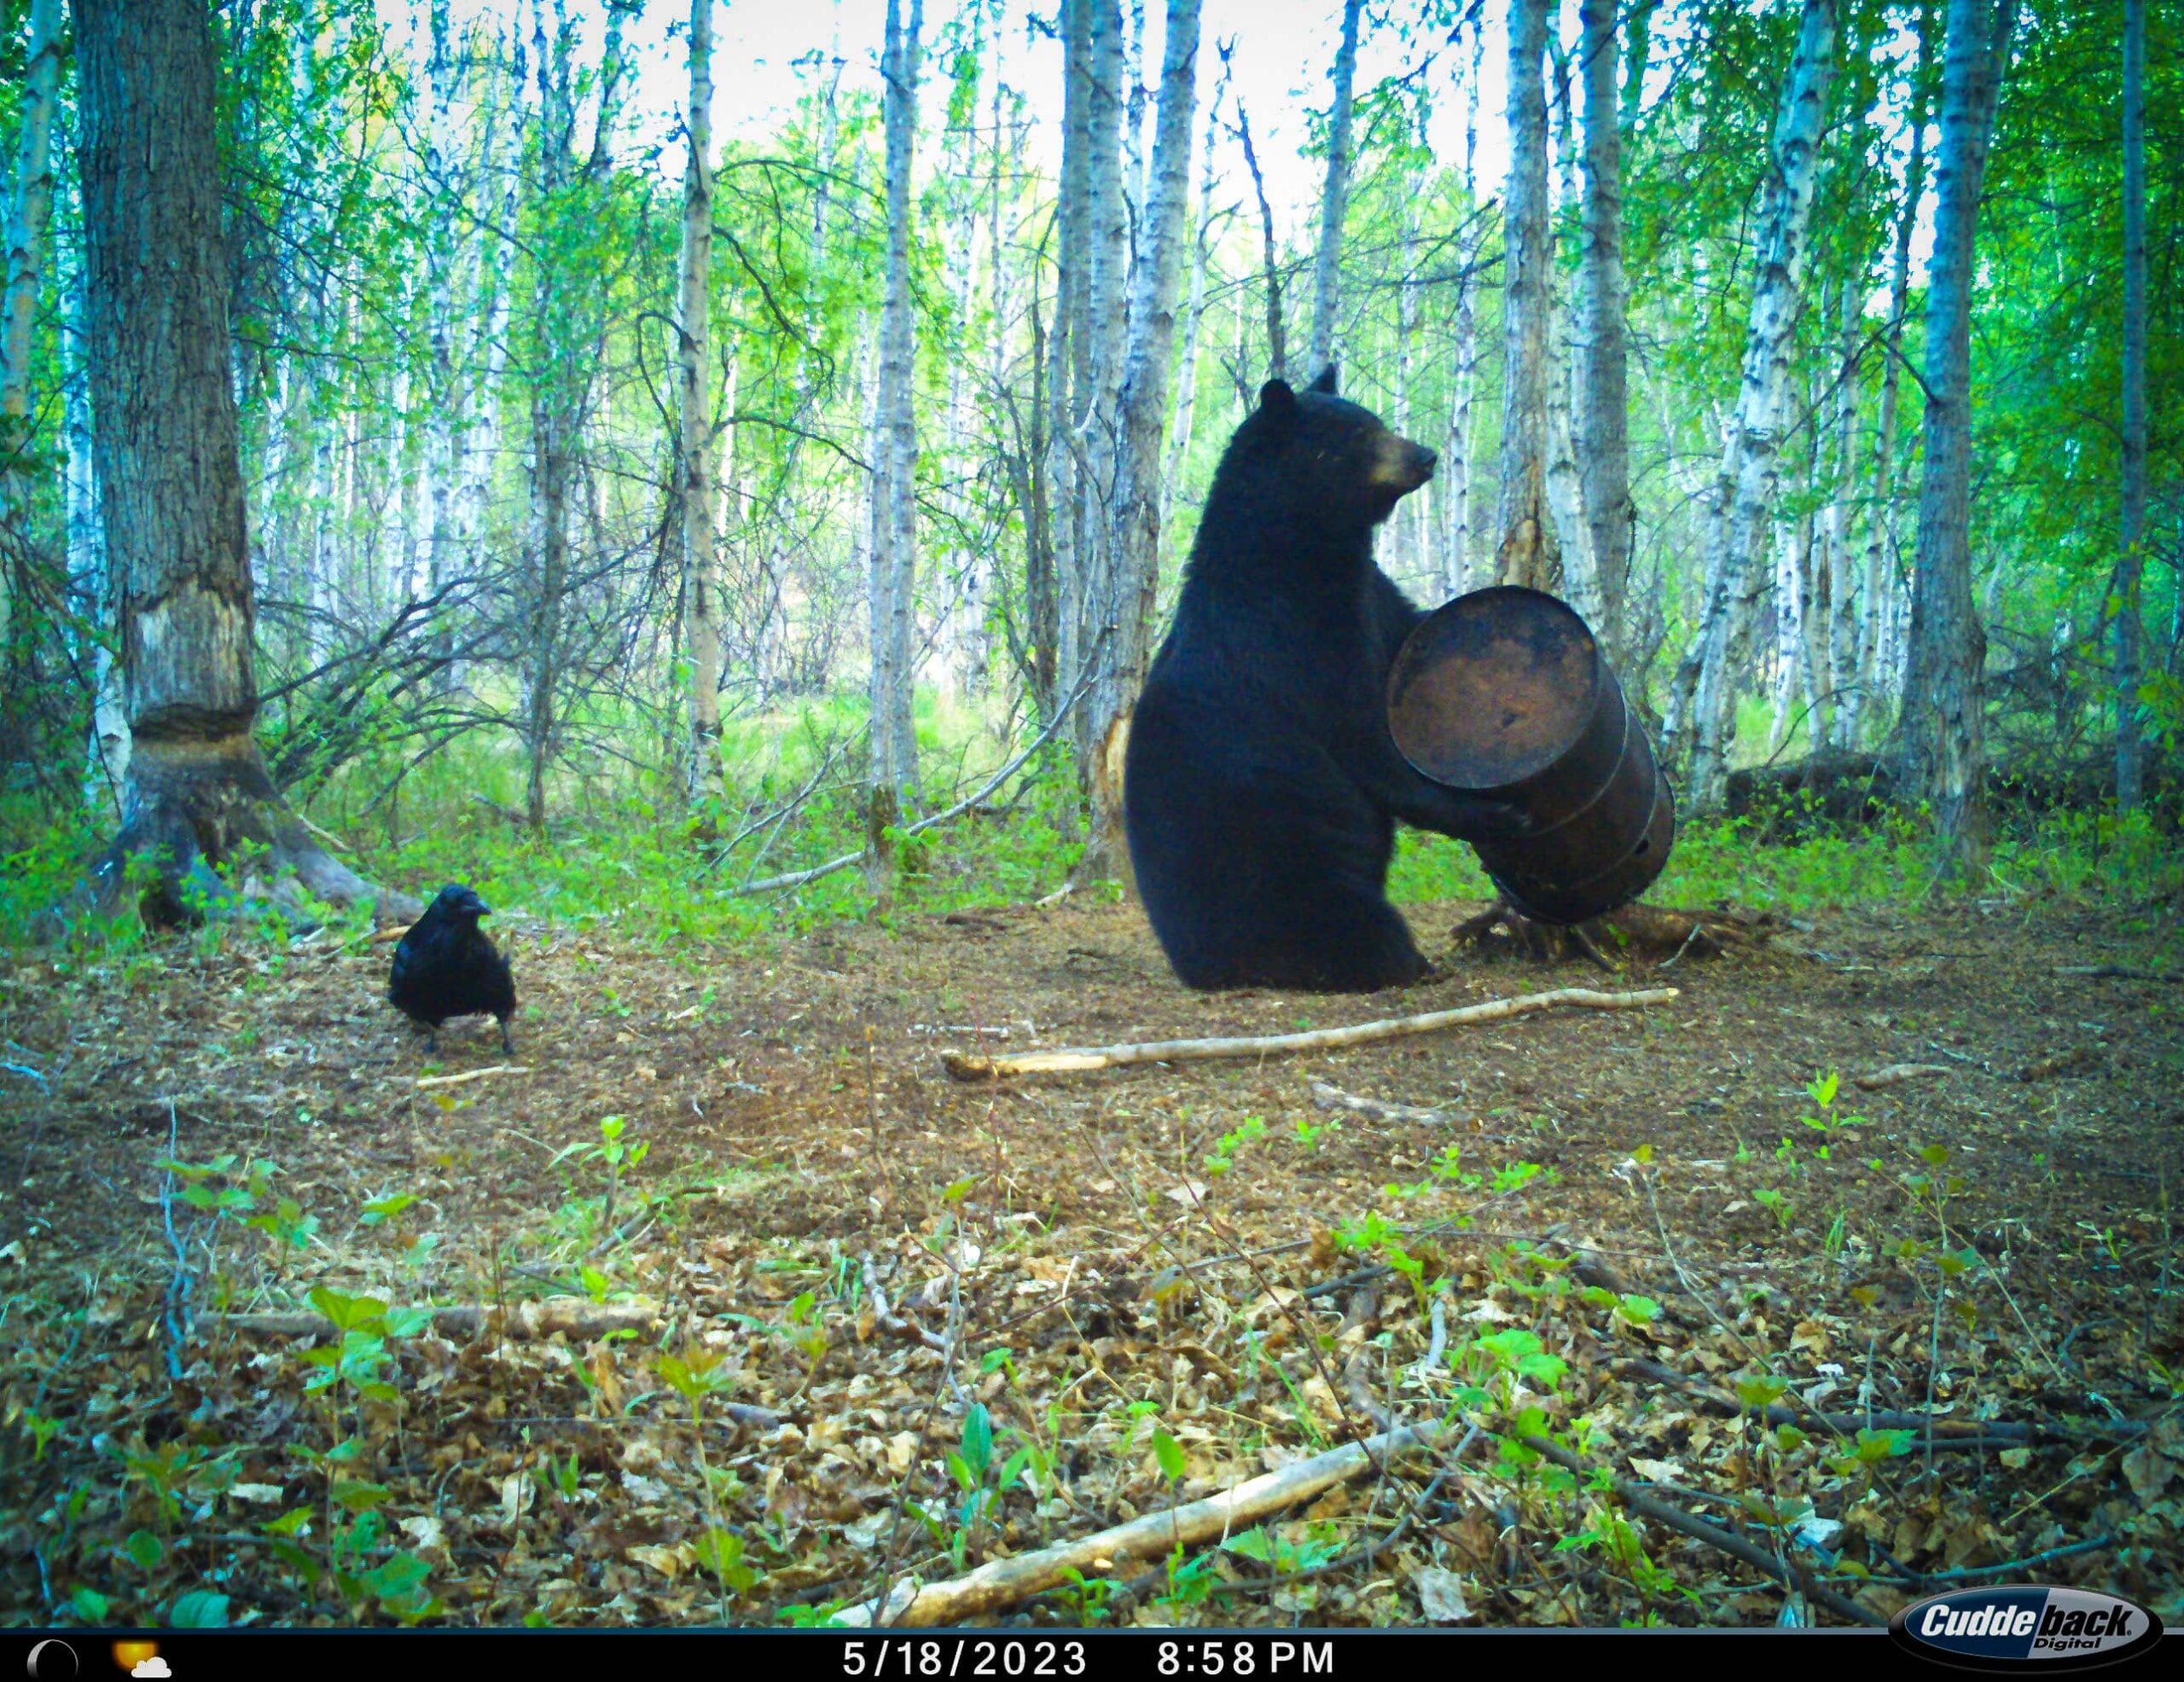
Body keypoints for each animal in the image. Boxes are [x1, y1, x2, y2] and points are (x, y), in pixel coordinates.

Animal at [1123, 366, 1522, 992]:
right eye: (1359, 436)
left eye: (1377, 420)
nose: (1426, 455)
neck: (1300, 561)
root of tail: (1197, 965)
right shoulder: (1294, 648)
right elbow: (1369, 746)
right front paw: (1494, 813)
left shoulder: (1369, 596)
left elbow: (1414, 630)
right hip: (1292, 879)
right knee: (1360, 928)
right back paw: (1411, 961)